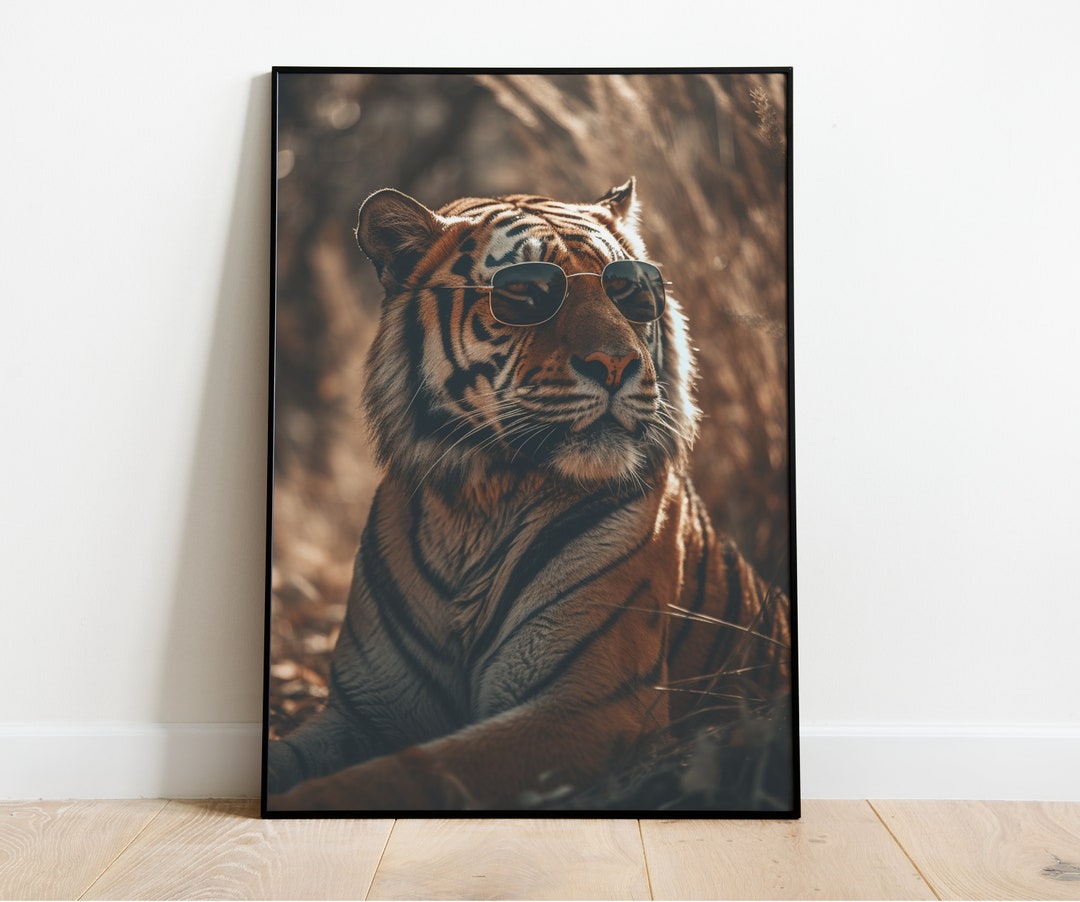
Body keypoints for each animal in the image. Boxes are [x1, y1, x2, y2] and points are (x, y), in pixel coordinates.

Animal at [266, 178, 792, 812]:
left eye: (630, 291)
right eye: (526, 293)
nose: (618, 363)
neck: (479, 504)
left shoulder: (586, 707)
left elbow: (404, 772)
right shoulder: (363, 711)